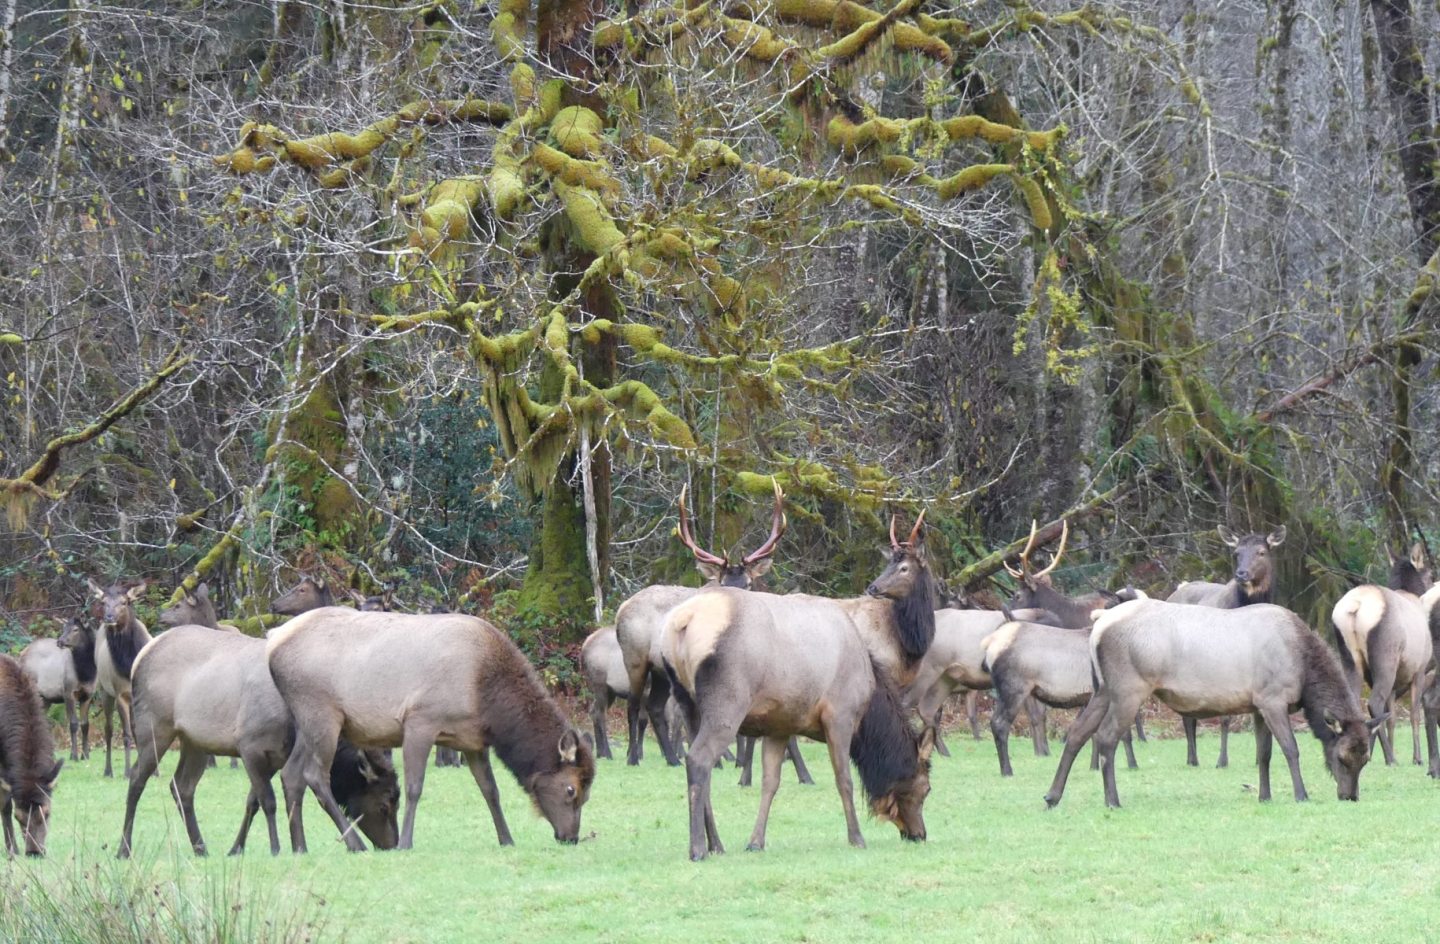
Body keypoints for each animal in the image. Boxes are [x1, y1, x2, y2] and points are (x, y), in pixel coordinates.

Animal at [1166, 525, 1287, 768]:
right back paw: (1193, 758)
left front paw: (1259, 758)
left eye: (1261, 552)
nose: (1241, 574)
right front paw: (1222, 760)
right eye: (1236, 553)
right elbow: (1225, 716)